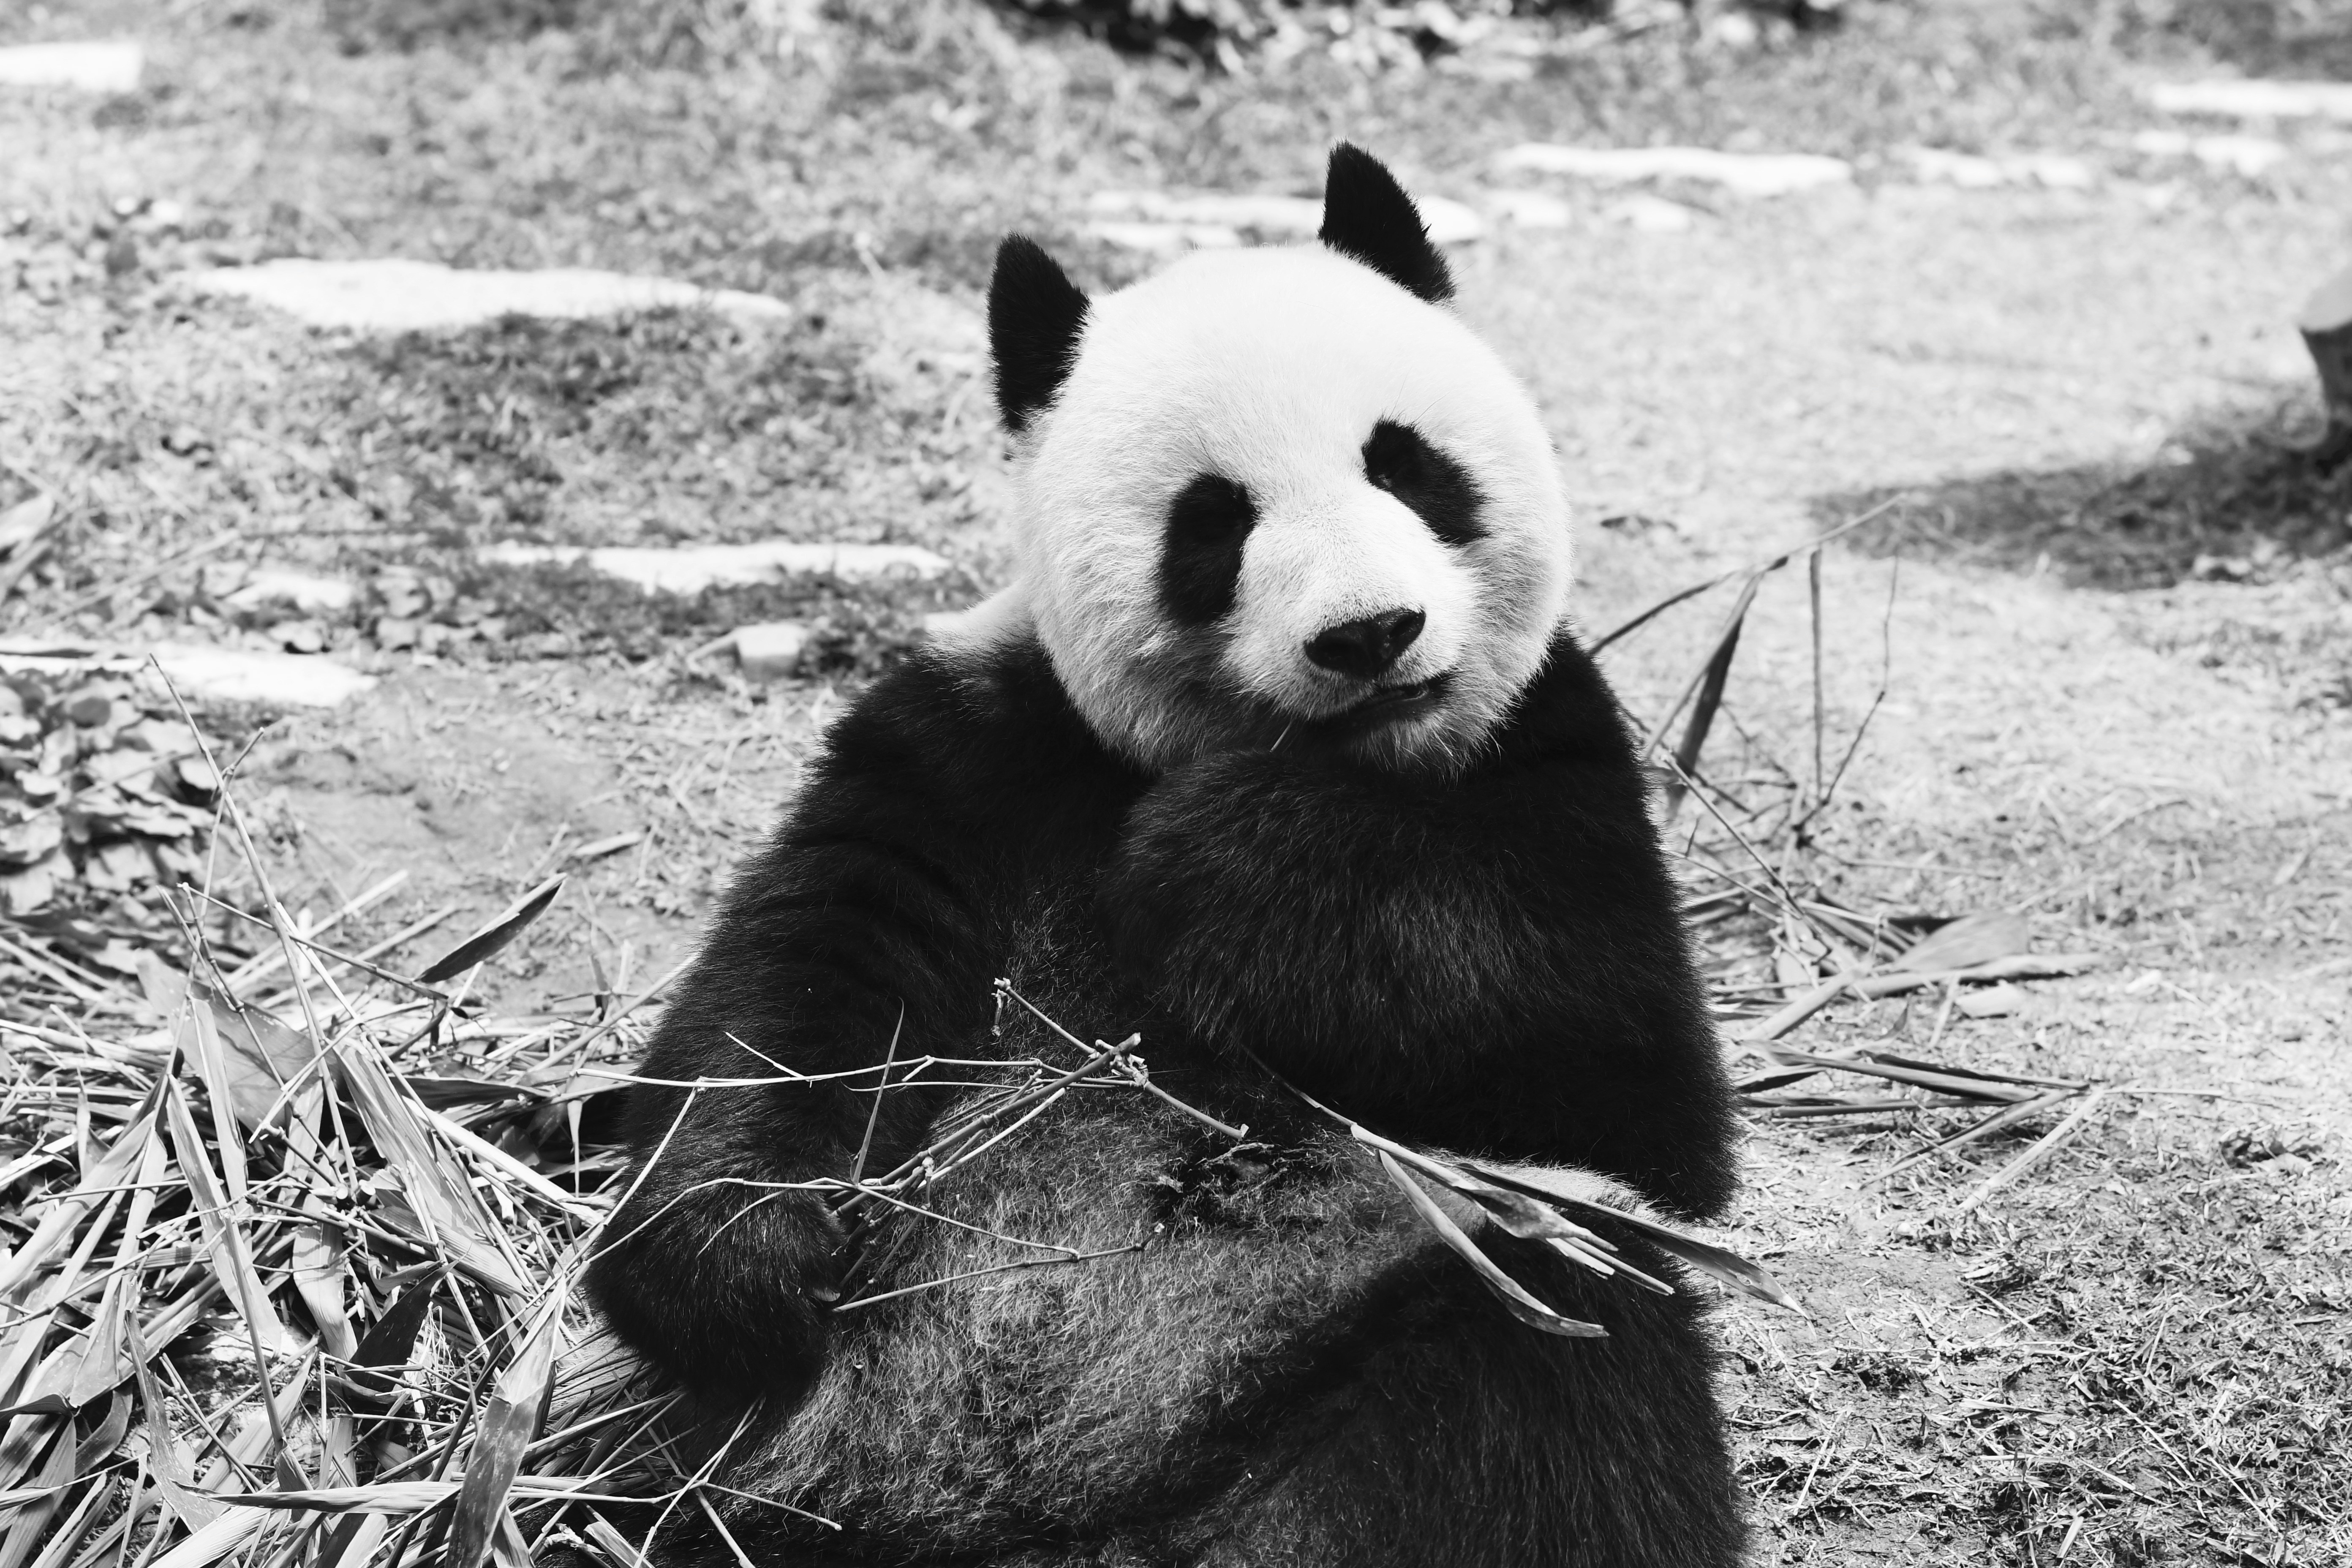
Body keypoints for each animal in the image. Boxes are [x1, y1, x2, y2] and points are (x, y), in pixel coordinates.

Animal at [586, 145, 1745, 1568]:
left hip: (1434, 1282)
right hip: (745, 1486)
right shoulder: (980, 741)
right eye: (1212, 522)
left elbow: (1627, 1081)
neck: (1331, 759)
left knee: (1549, 1395)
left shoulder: (1550, 751)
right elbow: (808, 971)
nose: (1370, 635)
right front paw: (749, 1264)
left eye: (1406, 465)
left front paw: (1222, 857)